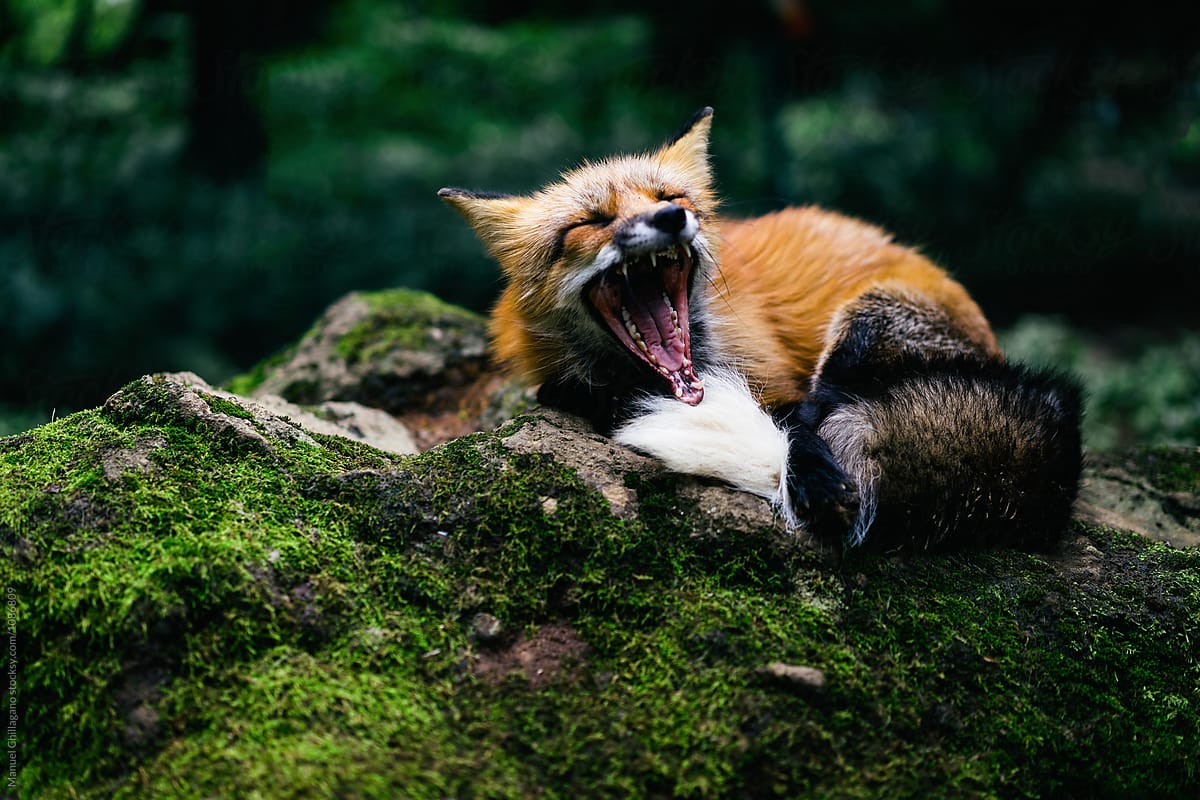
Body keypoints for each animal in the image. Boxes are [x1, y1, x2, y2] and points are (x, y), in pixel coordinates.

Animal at [439, 107, 1082, 551]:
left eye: (670, 195)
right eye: (591, 221)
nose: (673, 218)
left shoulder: (774, 381)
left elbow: (794, 421)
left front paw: (817, 481)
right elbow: (566, 389)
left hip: (864, 325)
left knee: (823, 409)